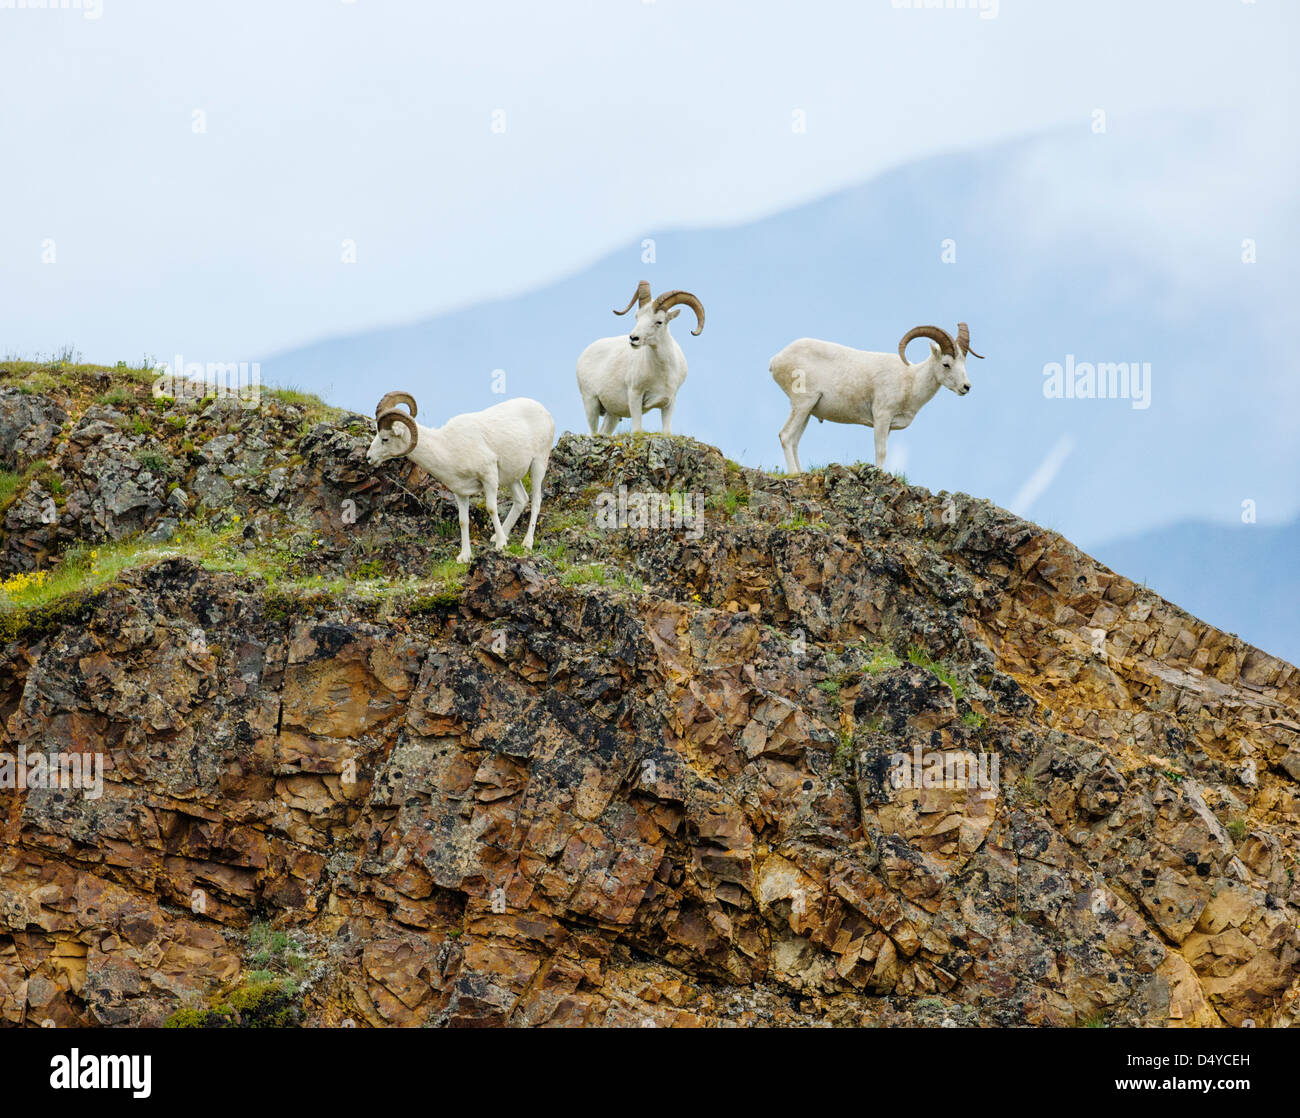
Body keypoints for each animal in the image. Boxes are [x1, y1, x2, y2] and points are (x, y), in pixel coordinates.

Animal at [366, 391, 555, 563]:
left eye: (385, 438)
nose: (369, 458)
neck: (448, 448)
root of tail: (544, 411)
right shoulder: (460, 492)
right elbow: (463, 521)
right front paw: (464, 556)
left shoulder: (489, 476)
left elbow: (491, 508)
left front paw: (501, 545)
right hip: (512, 477)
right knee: (521, 499)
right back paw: (498, 536)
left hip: (538, 465)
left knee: (536, 501)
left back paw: (526, 543)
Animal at [576, 281, 706, 435]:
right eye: (637, 317)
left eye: (659, 322)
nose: (633, 338)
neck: (662, 373)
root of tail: (584, 354)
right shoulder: (635, 395)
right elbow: (637, 429)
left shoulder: (669, 402)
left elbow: (666, 431)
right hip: (591, 403)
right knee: (593, 432)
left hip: (612, 415)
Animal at [770, 323, 984, 474]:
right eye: (946, 364)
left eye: (964, 362)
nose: (966, 387)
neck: (910, 381)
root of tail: (776, 360)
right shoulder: (882, 417)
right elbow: (881, 452)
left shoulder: (888, 426)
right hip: (803, 404)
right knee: (786, 436)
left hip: (807, 411)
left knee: (794, 441)